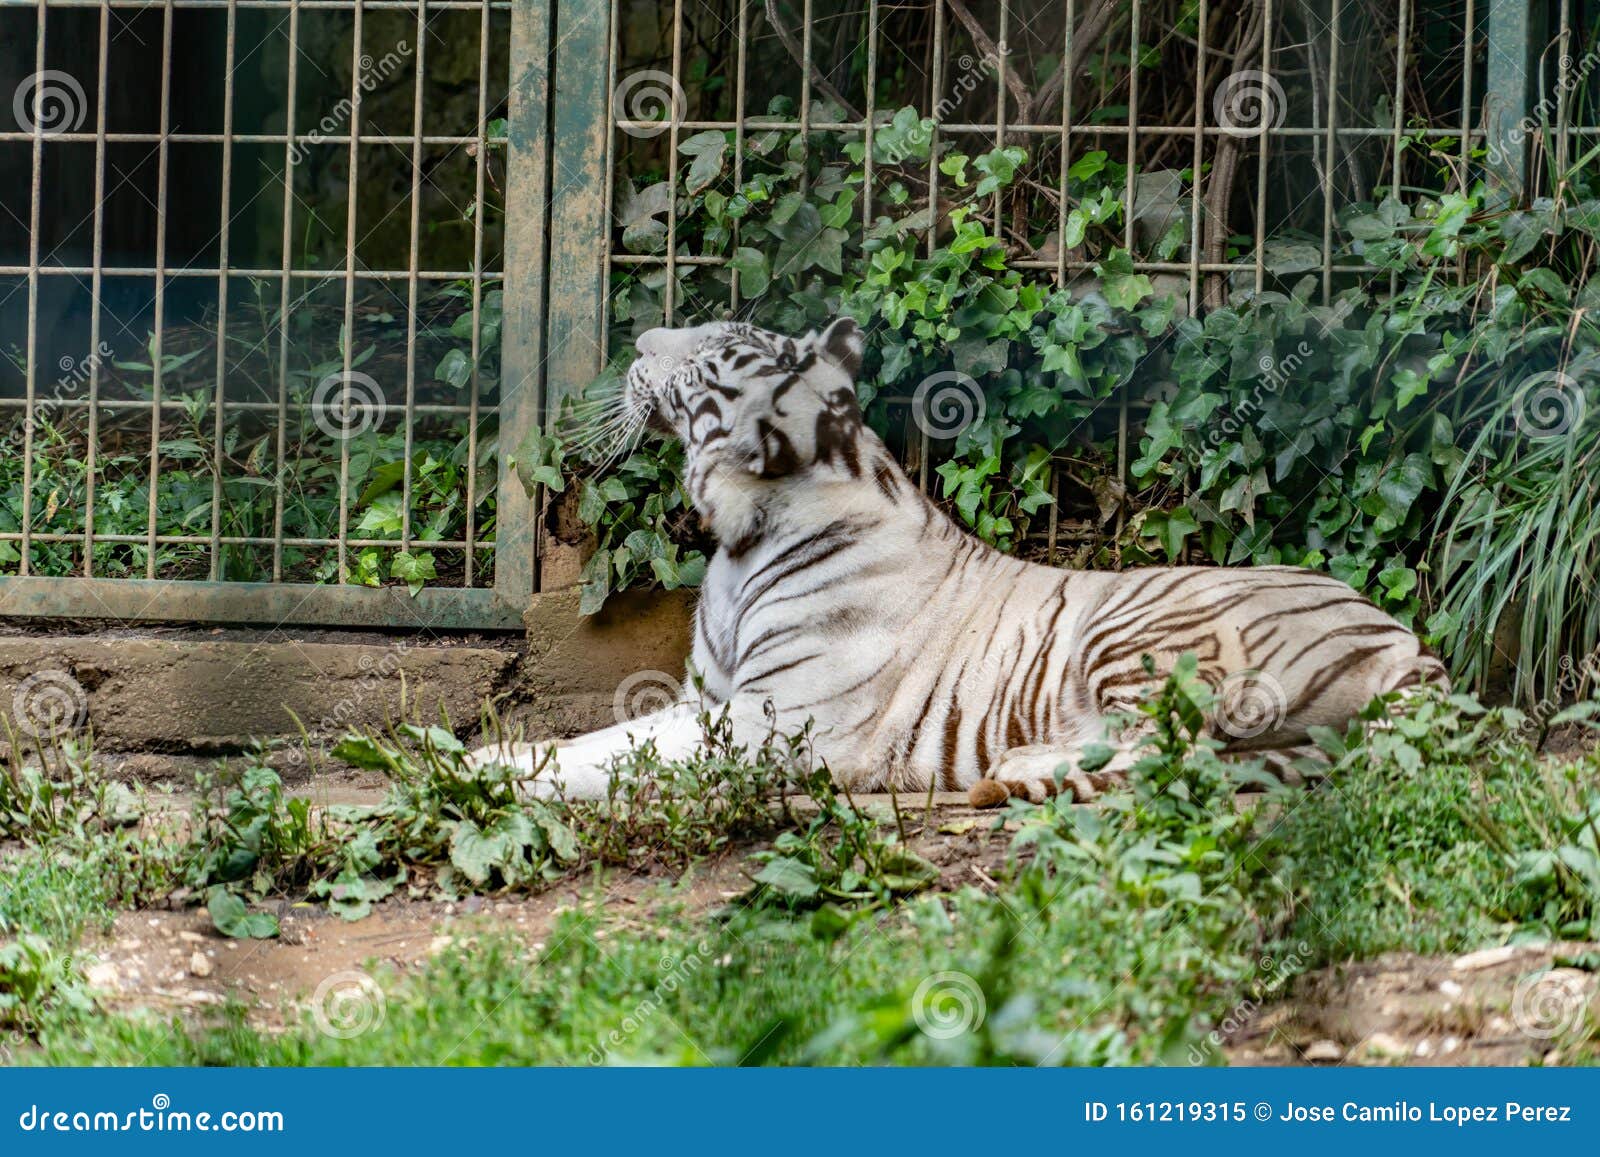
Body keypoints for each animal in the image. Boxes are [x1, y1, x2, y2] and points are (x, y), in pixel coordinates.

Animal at [467, 317, 1446, 806]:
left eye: (711, 352)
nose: (637, 343)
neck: (743, 533)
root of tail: (1404, 637)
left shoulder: (767, 723)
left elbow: (612, 754)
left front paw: (469, 770)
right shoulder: (712, 698)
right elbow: (604, 737)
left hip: (1147, 629)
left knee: (1175, 749)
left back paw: (1017, 770)